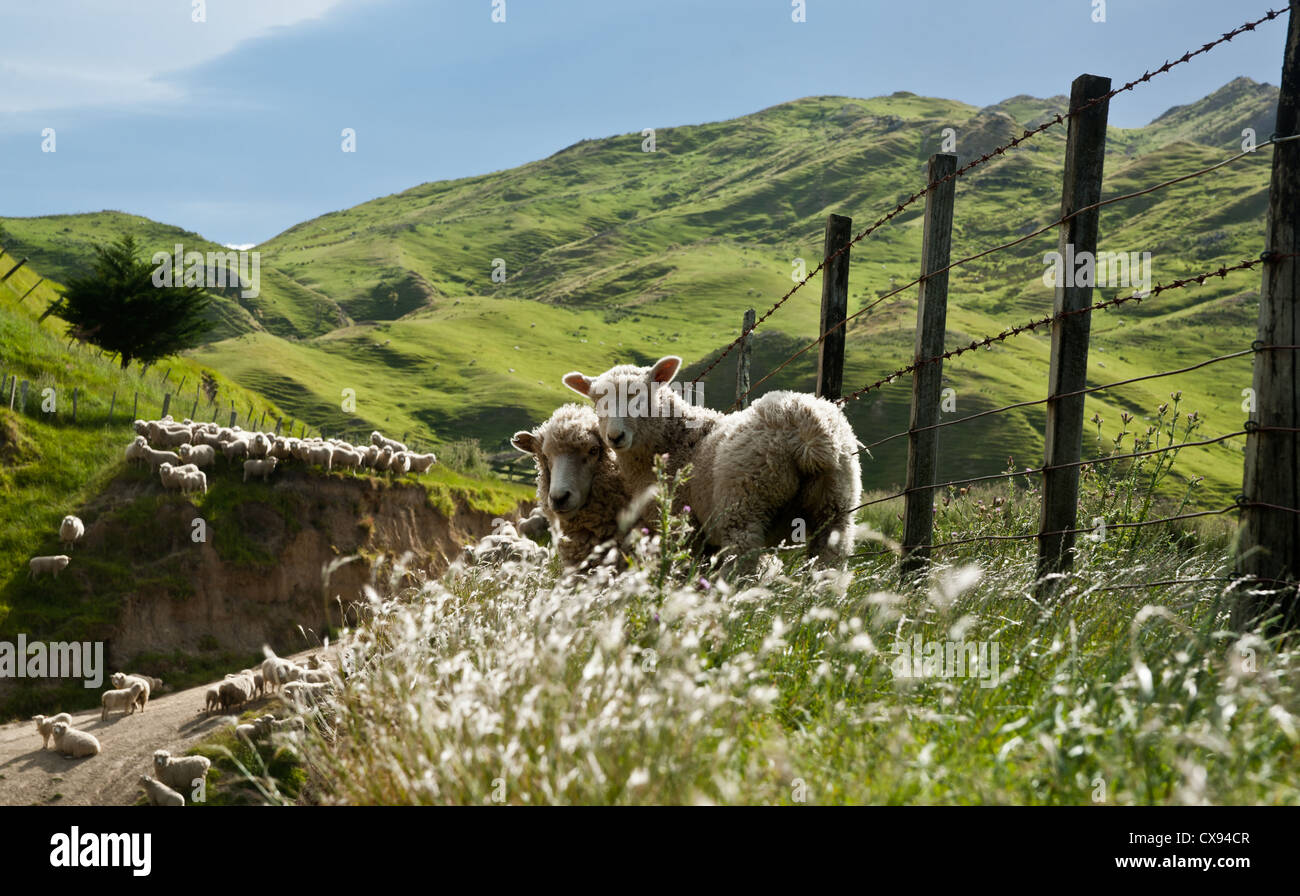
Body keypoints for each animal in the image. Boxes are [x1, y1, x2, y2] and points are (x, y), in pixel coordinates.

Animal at [564, 356, 862, 567]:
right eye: (596, 401)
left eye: (640, 396)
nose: (615, 437)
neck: (675, 439)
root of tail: (805, 424)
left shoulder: (681, 522)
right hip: (836, 504)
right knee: (830, 560)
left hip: (744, 502)